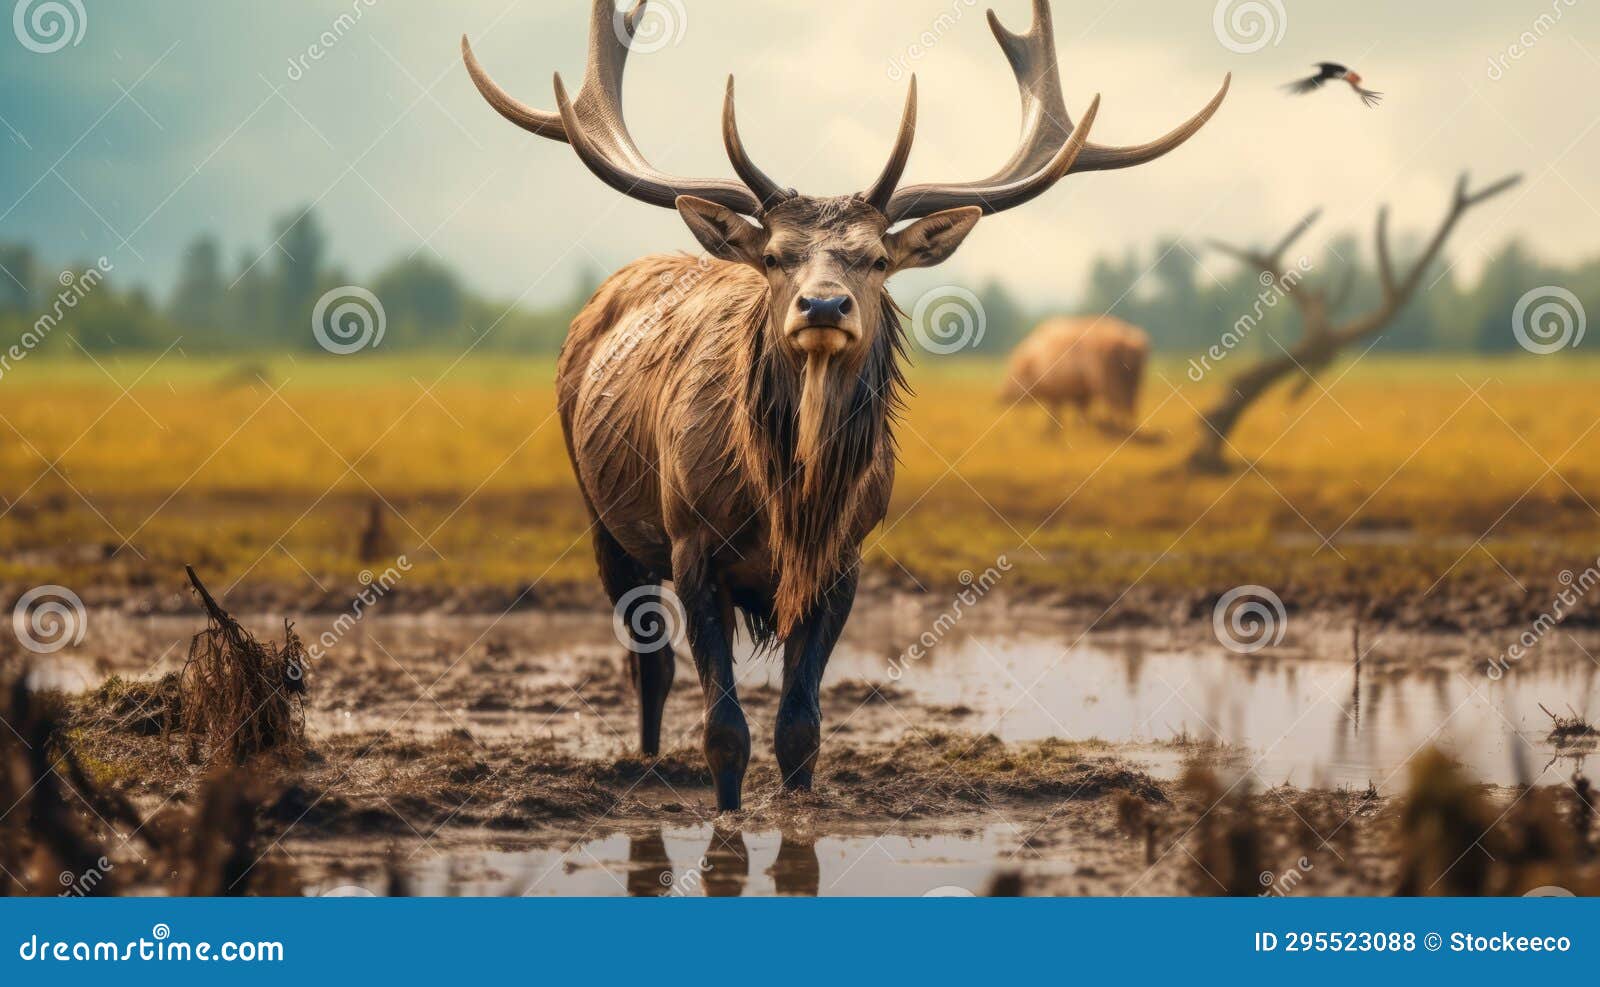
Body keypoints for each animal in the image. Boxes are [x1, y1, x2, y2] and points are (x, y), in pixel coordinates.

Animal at [463, 0, 1228, 811]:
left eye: (879, 258)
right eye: (775, 257)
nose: (824, 304)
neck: (788, 501)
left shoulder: (845, 557)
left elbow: (800, 728)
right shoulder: (694, 543)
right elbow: (724, 731)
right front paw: (726, 813)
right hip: (604, 517)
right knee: (650, 661)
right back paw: (644, 762)